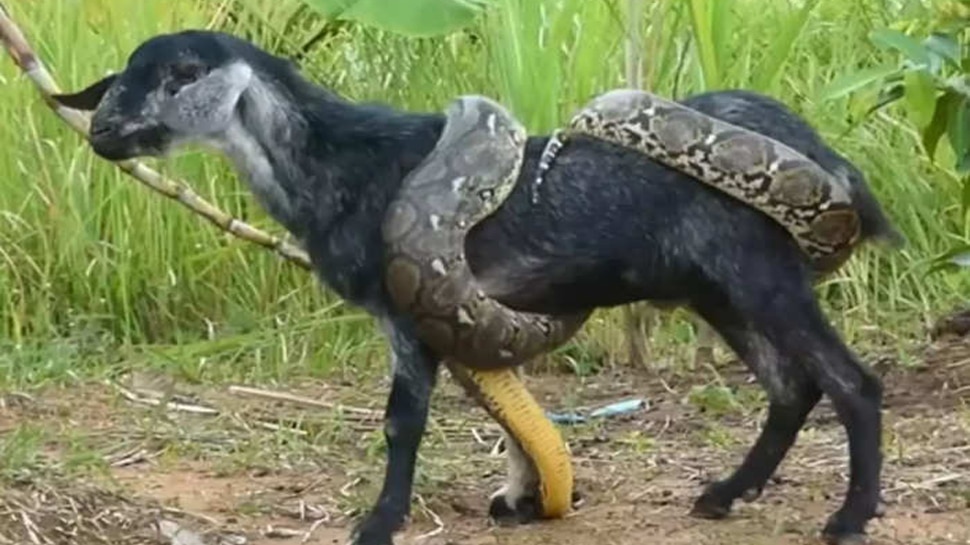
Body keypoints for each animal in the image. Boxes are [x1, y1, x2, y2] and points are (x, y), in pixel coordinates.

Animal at [52, 30, 902, 545]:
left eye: (180, 76)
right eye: (116, 83)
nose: (104, 135)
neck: (342, 163)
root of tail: (827, 159)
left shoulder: (403, 312)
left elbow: (403, 423)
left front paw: (380, 521)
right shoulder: (472, 317)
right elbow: (507, 414)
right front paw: (525, 500)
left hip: (758, 279)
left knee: (852, 381)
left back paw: (850, 515)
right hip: (718, 291)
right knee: (792, 386)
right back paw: (727, 492)